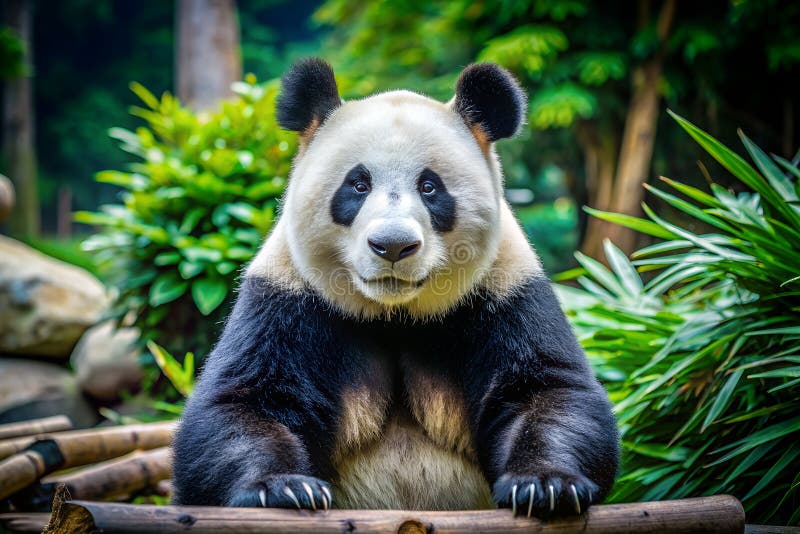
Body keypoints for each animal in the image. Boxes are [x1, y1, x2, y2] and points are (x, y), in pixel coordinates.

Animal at [172, 58, 619, 519]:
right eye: (358, 184)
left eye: (429, 187)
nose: (393, 245)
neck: (394, 311)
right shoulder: (286, 296)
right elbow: (244, 403)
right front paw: (282, 488)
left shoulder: (504, 288)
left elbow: (545, 391)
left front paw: (546, 485)